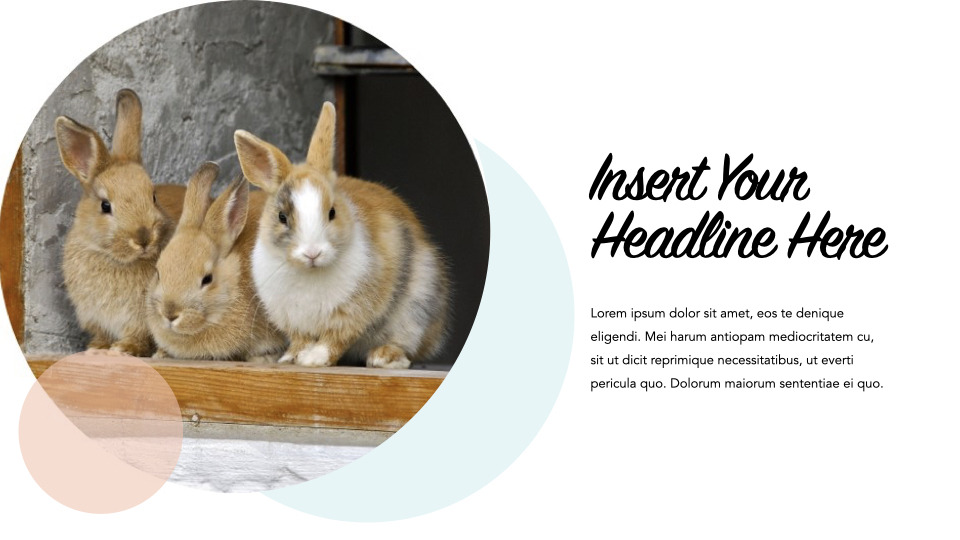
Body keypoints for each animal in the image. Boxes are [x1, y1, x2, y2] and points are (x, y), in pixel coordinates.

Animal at [55, 89, 186, 356]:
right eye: (105, 206)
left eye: (153, 196)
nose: (143, 238)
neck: (115, 259)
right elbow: (102, 334)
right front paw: (96, 348)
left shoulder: (141, 319)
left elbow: (138, 336)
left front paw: (123, 349)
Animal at [233, 101, 451, 369]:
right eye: (282, 217)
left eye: (332, 212)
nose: (312, 253)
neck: (310, 273)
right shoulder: (292, 319)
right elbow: (301, 340)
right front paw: (291, 358)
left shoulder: (351, 313)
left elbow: (335, 338)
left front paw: (314, 359)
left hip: (417, 309)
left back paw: (383, 357)